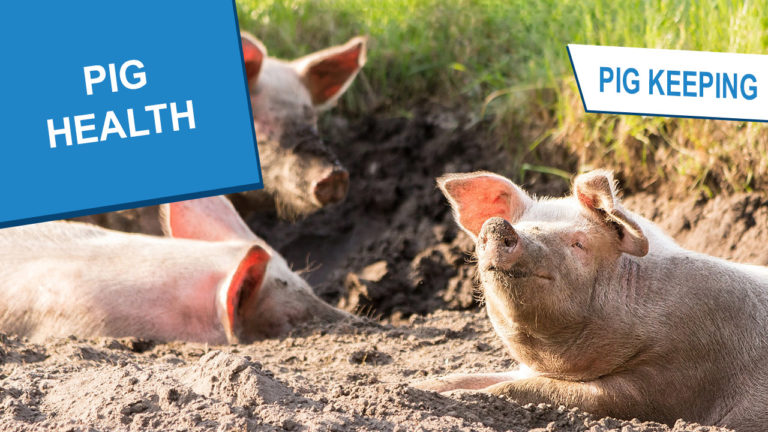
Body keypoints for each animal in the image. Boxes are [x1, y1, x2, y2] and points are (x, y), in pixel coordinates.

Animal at [415, 169, 768, 431]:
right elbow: (468, 377)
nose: (498, 224)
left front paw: (463, 396)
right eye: (522, 225)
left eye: (578, 243)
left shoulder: (672, 379)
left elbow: (525, 389)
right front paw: (419, 388)